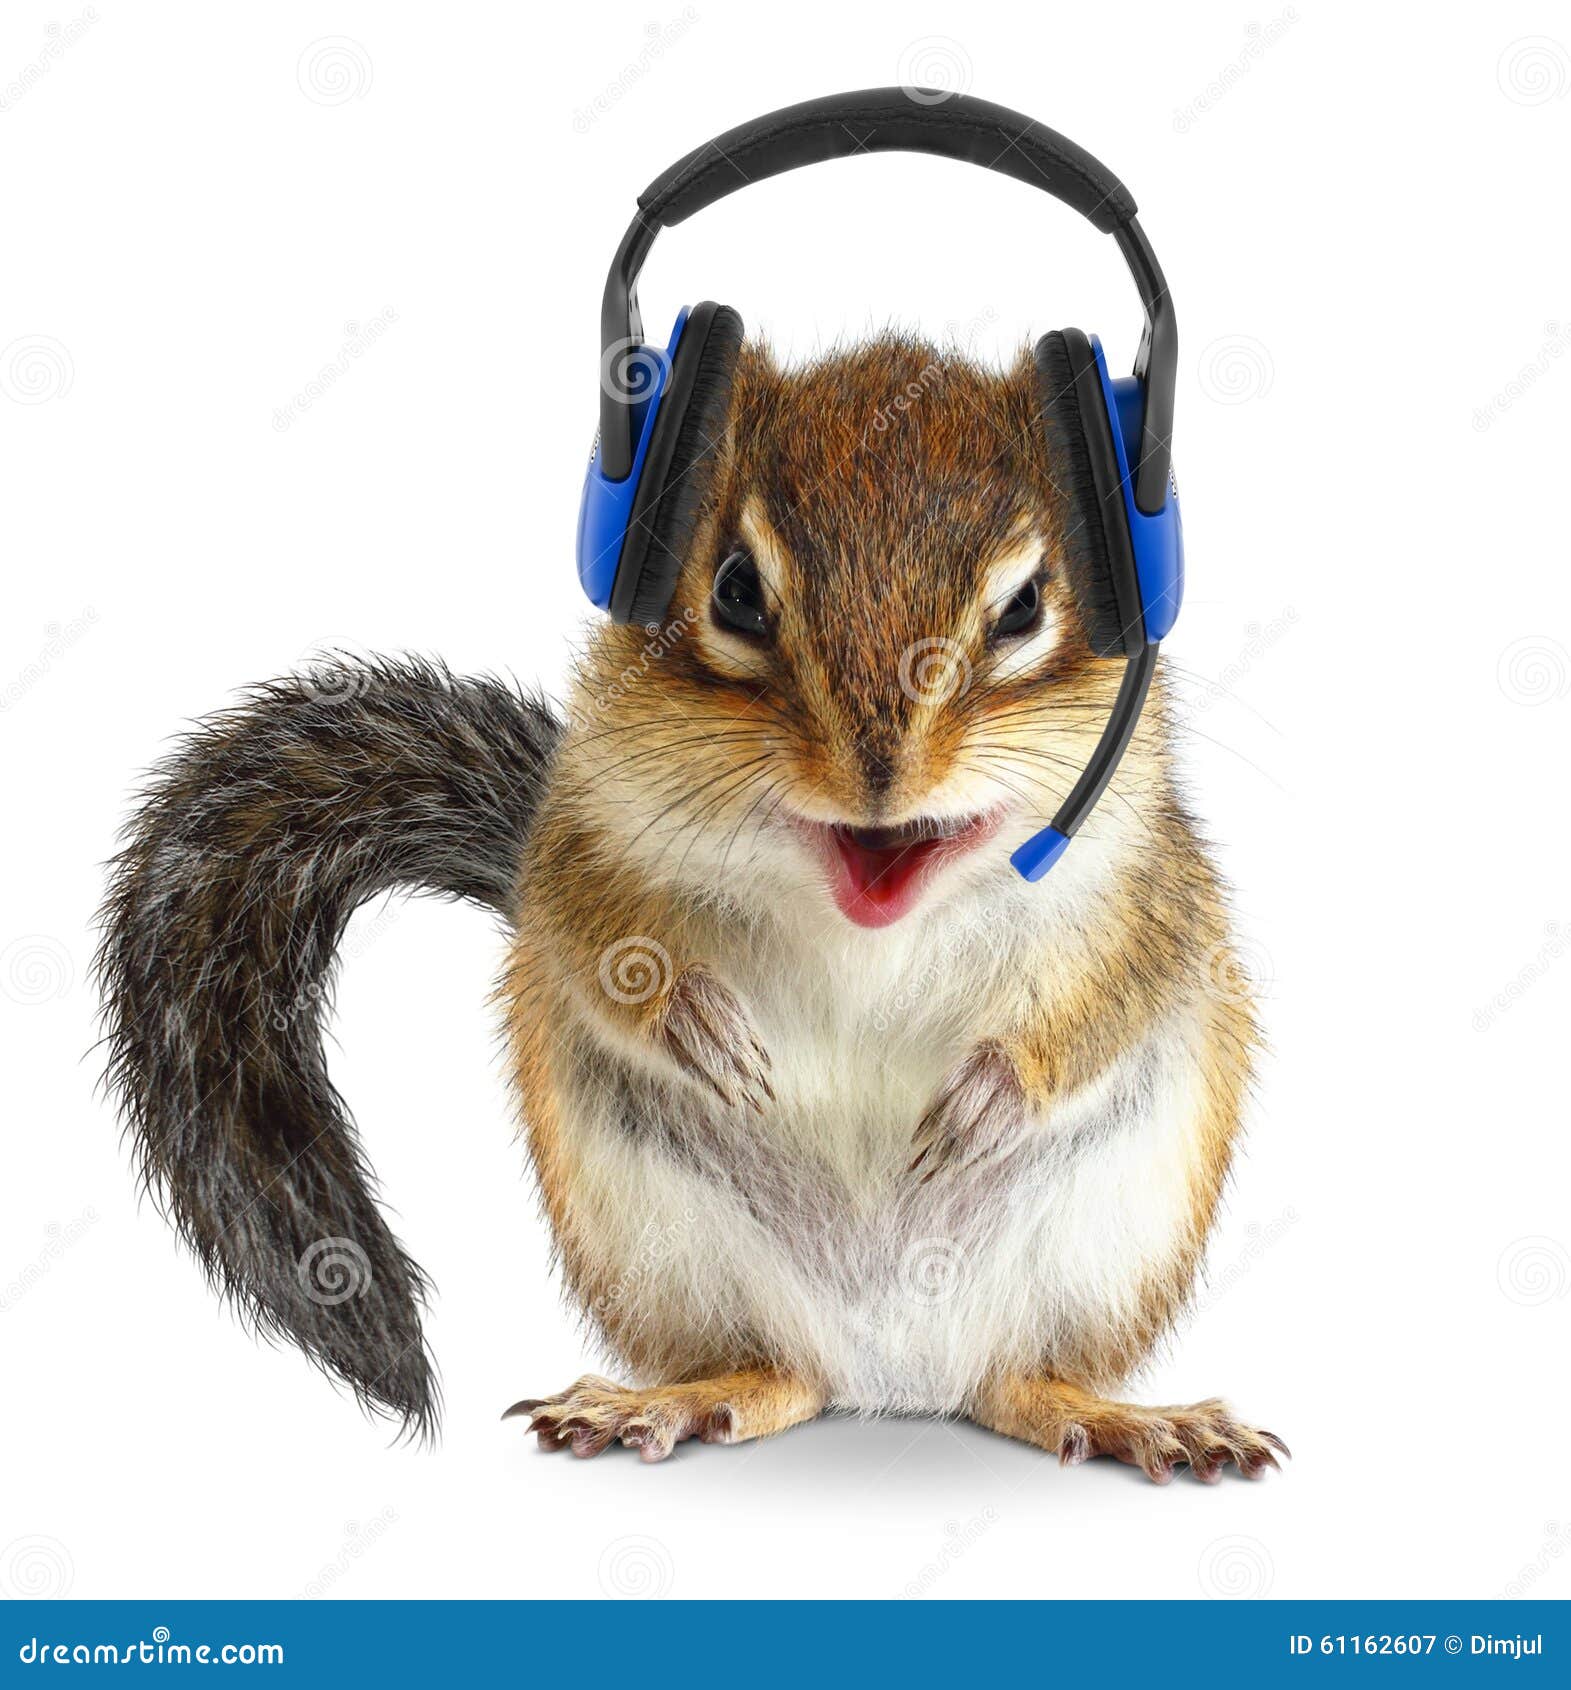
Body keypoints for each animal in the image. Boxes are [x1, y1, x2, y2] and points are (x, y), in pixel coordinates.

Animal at [97, 332, 1286, 1482]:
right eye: (735, 591)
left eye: (1027, 606)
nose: (877, 775)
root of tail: (893, 1377)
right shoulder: (579, 842)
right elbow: (592, 940)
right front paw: (698, 1025)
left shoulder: (1145, 890)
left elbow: (1105, 1003)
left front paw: (989, 1095)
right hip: (669, 1251)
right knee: (775, 1376)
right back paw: (670, 1399)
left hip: (1102, 1255)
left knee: (1017, 1382)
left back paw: (1123, 1418)